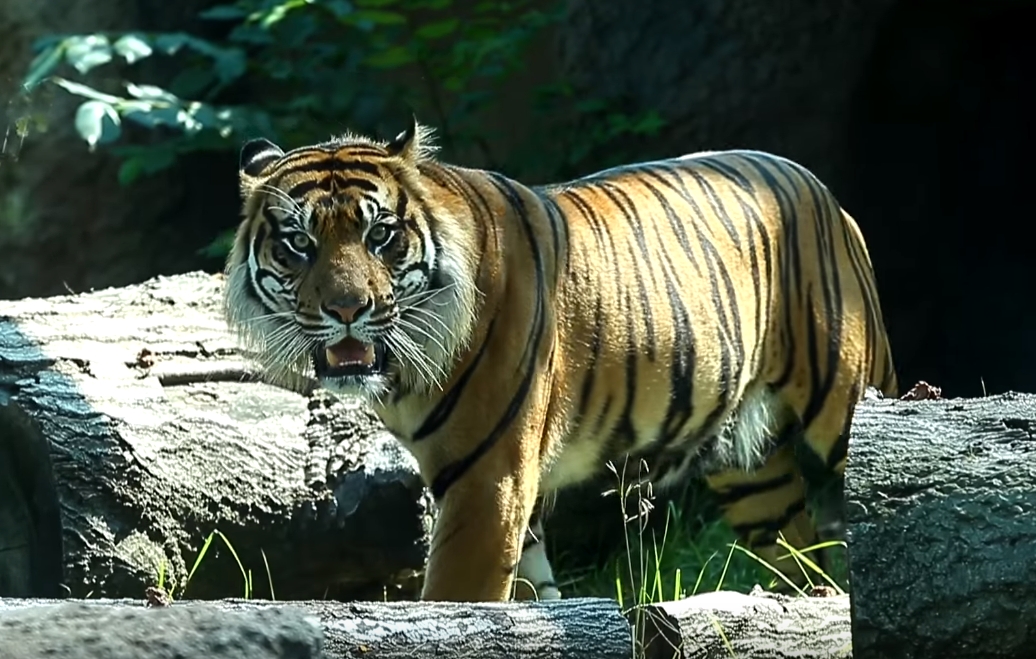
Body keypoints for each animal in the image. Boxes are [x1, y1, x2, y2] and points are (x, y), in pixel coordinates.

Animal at [222, 116, 898, 603]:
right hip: (750, 472)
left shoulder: (486, 480)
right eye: (298, 243)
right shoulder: (506, 491)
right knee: (806, 563)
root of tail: (819, 187)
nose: (347, 309)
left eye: (380, 234)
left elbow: (454, 602)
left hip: (847, 397)